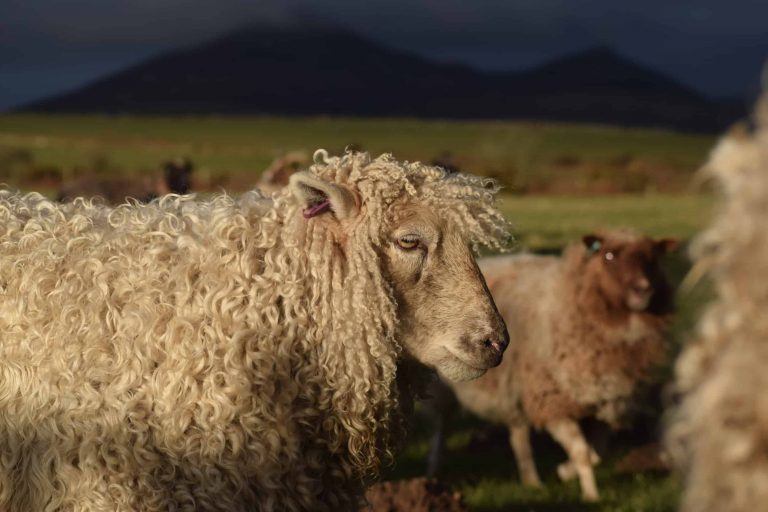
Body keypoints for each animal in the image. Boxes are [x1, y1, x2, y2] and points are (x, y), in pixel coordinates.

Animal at [432, 230, 677, 501]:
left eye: (652, 258)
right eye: (609, 255)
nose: (643, 289)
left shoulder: (604, 402)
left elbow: (597, 454)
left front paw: (565, 472)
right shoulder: (552, 401)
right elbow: (582, 452)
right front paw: (590, 495)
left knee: (518, 433)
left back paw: (531, 480)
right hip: (445, 386)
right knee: (440, 426)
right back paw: (433, 472)